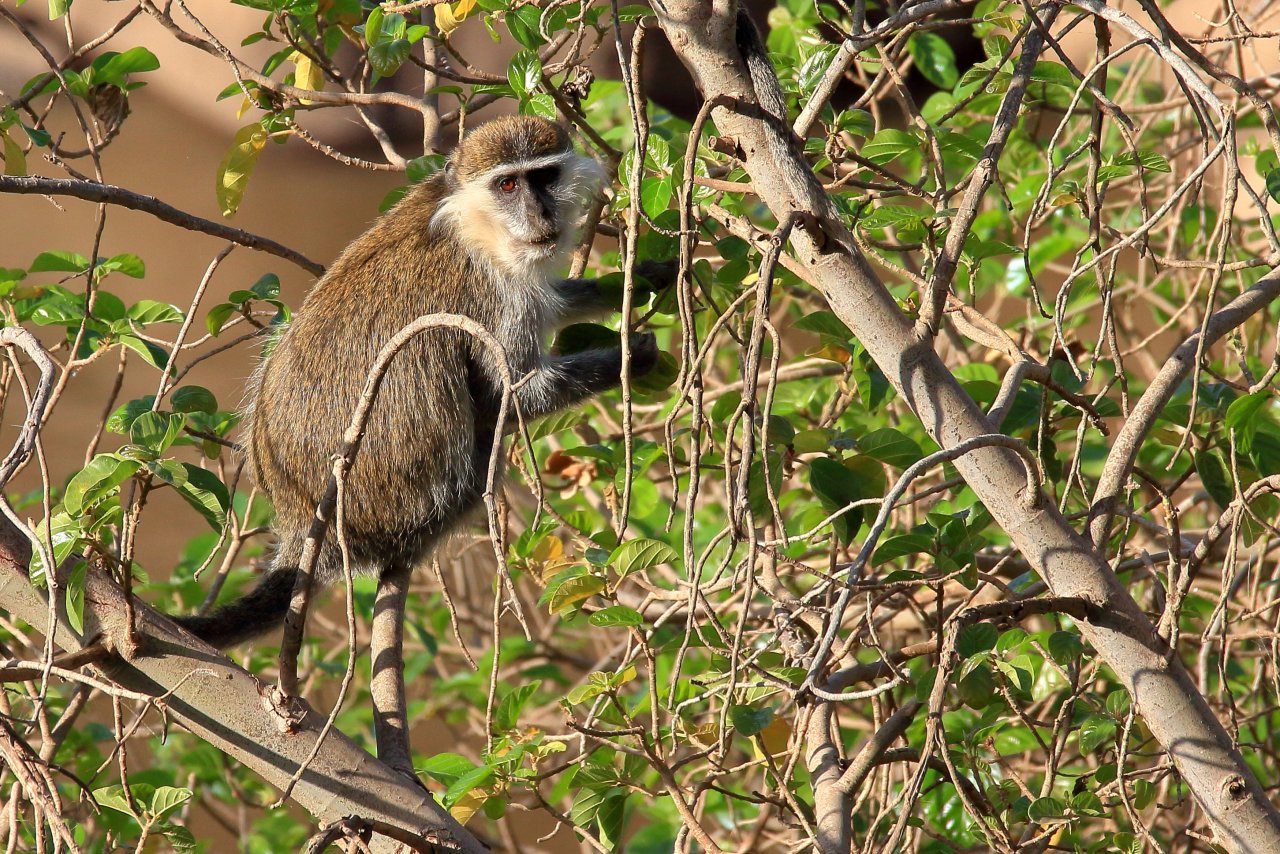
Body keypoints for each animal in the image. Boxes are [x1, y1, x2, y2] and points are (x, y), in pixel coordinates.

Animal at [176, 116, 670, 648]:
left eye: (544, 177)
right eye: (508, 185)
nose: (538, 213)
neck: (473, 226)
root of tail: (302, 524)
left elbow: (555, 302)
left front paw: (646, 277)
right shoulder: (496, 294)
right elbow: (507, 397)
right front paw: (630, 358)